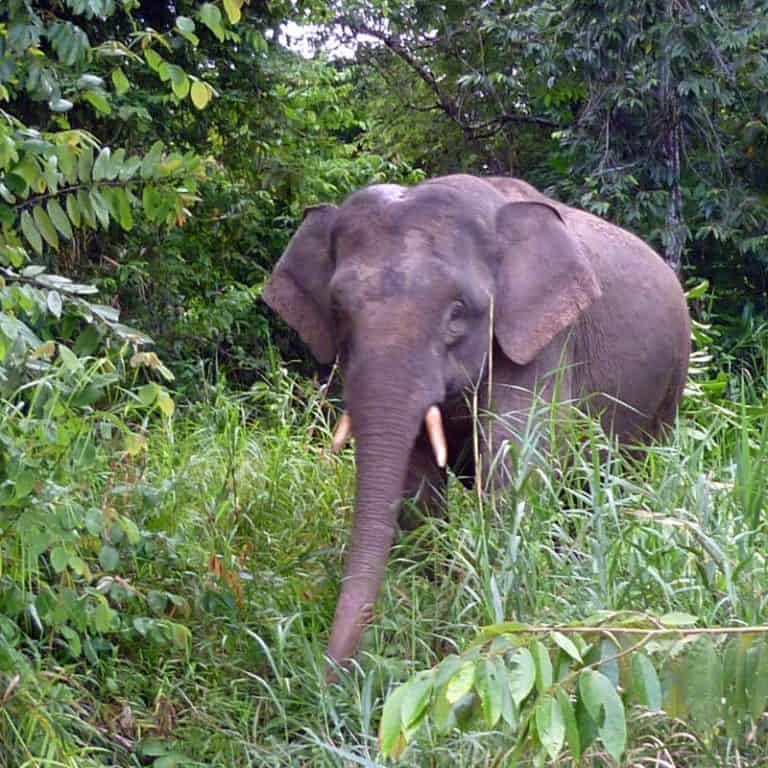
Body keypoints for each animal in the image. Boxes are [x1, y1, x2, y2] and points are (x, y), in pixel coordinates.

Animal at [263, 174, 691, 671]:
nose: (329, 675)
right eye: (337, 310)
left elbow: (514, 469)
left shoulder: (542, 341)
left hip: (670, 385)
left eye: (457, 310)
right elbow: (417, 490)